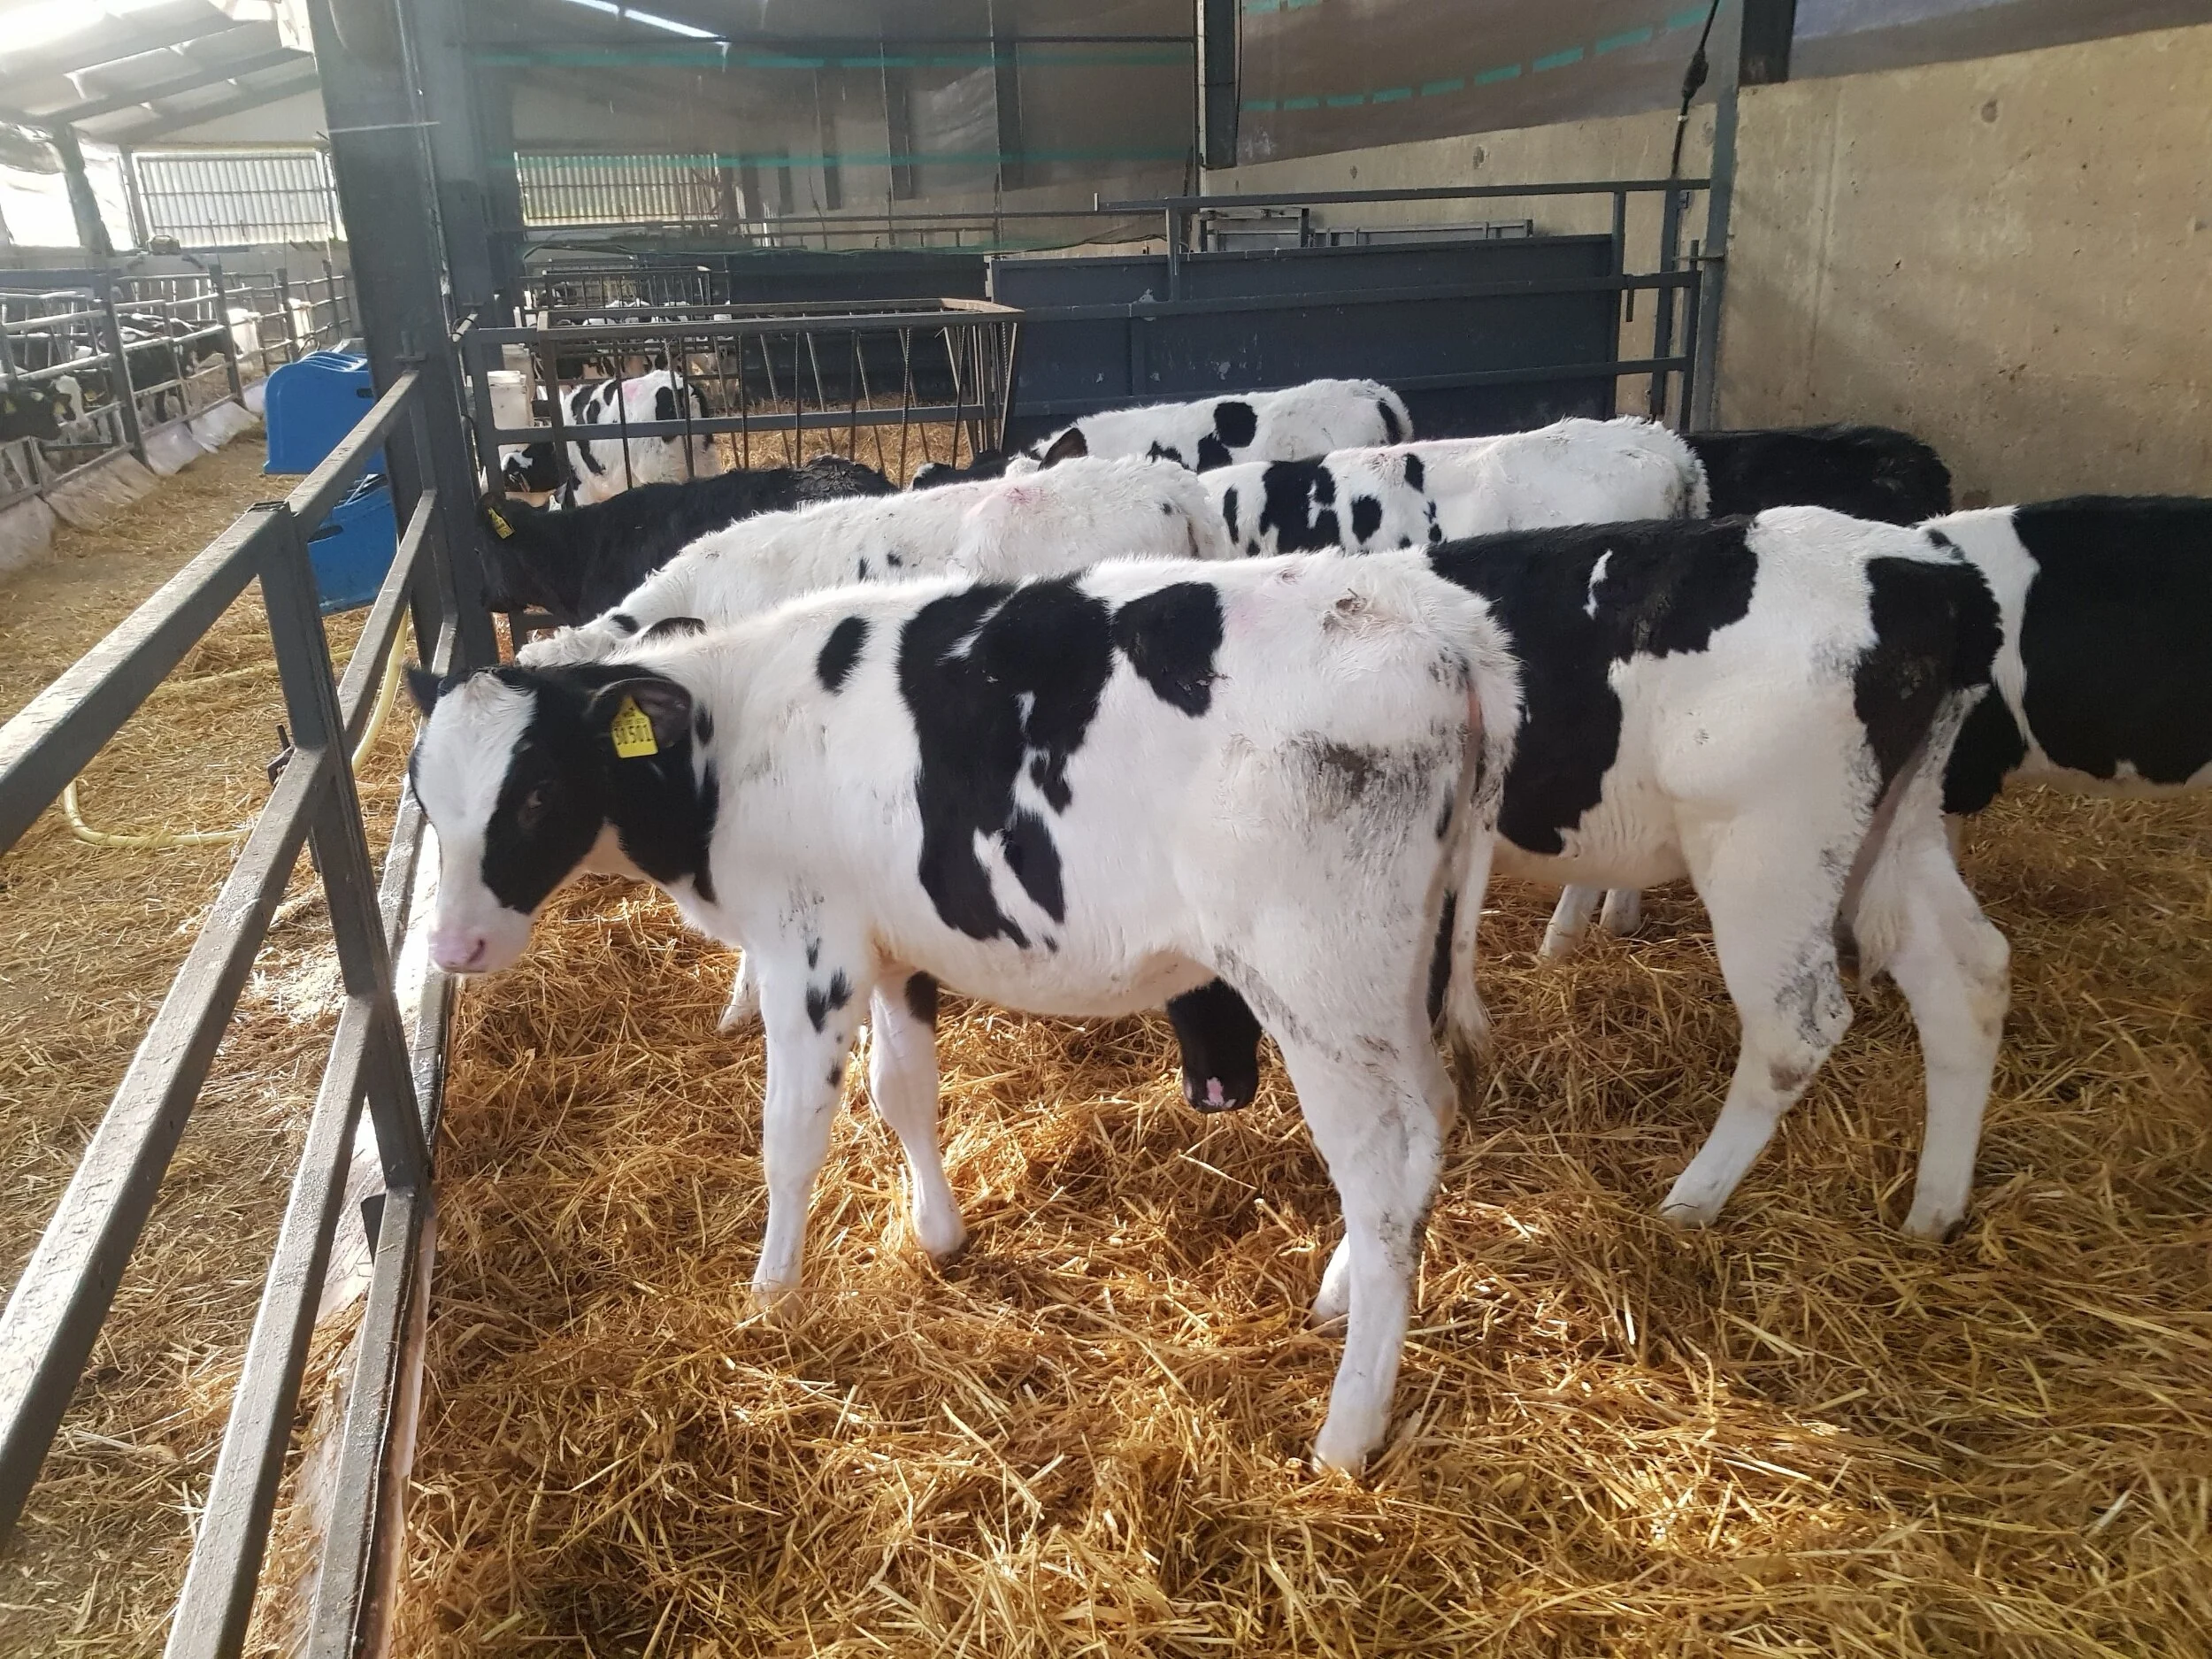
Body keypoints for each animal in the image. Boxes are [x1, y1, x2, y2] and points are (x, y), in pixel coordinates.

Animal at [406, 551, 1524, 1472]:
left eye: (537, 794)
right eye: (422, 796)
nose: (451, 949)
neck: (726, 739)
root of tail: (1443, 625)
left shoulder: (809, 949)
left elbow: (791, 1134)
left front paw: (770, 1291)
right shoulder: (897, 946)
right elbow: (902, 1091)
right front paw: (936, 1235)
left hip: (1320, 980)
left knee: (1383, 1170)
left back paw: (1346, 1432)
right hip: (1402, 971)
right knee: (1430, 1118)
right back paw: (1340, 1294)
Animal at [1162, 508, 2010, 1242]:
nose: (1211, 1095)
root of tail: (1928, 567)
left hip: (1769, 849)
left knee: (1796, 1028)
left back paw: (1691, 1199)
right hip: (1895, 826)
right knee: (1967, 973)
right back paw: (1935, 1209)